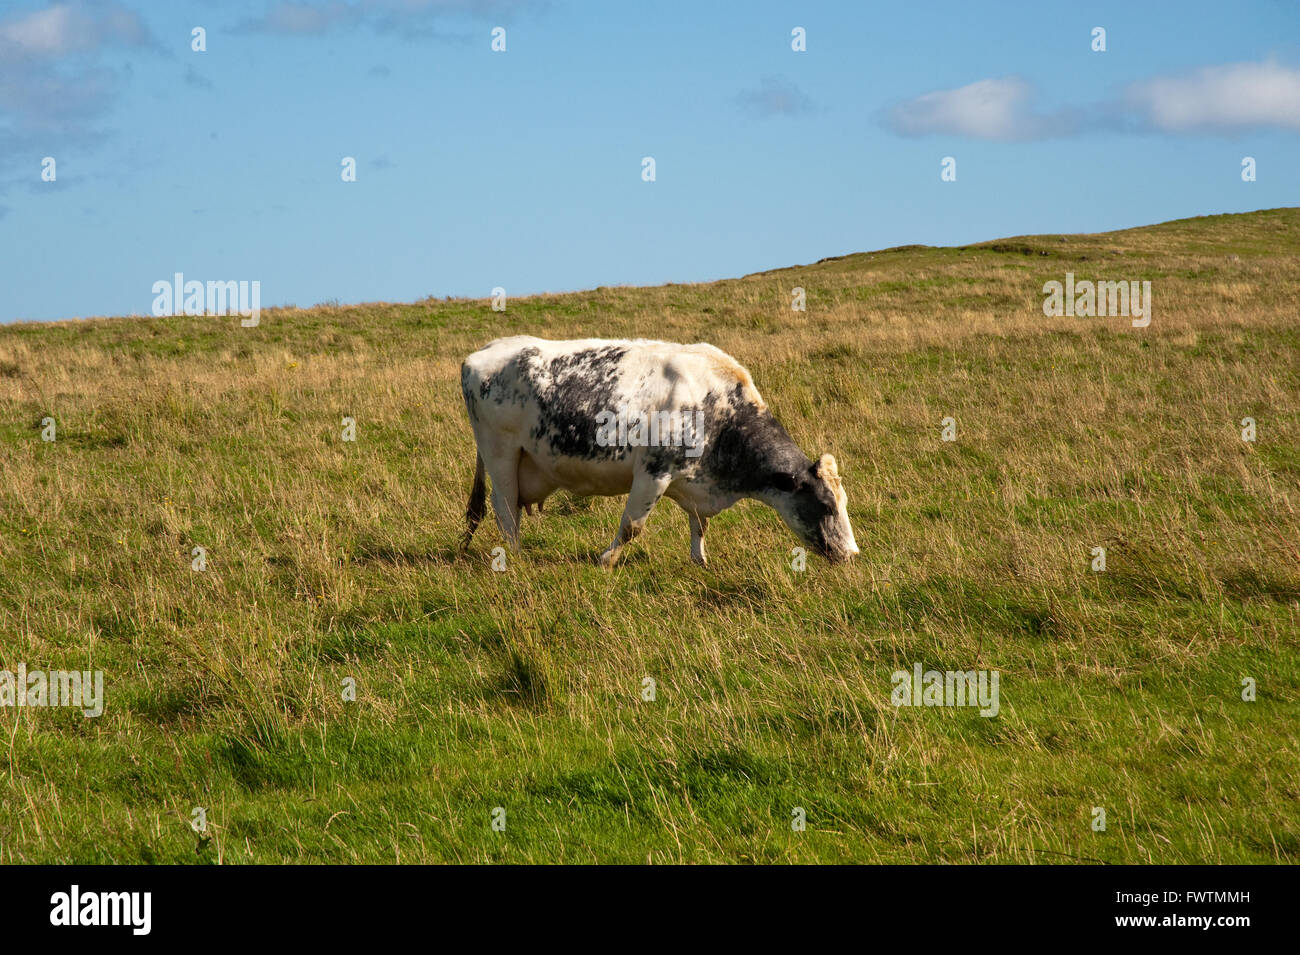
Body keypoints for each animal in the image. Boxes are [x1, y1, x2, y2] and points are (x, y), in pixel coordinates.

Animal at [459, 336, 859, 567]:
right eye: (825, 505)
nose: (853, 554)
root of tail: (484, 351)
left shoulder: (694, 481)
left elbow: (700, 524)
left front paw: (700, 560)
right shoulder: (653, 472)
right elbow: (632, 526)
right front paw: (606, 559)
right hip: (500, 451)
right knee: (505, 507)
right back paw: (517, 556)